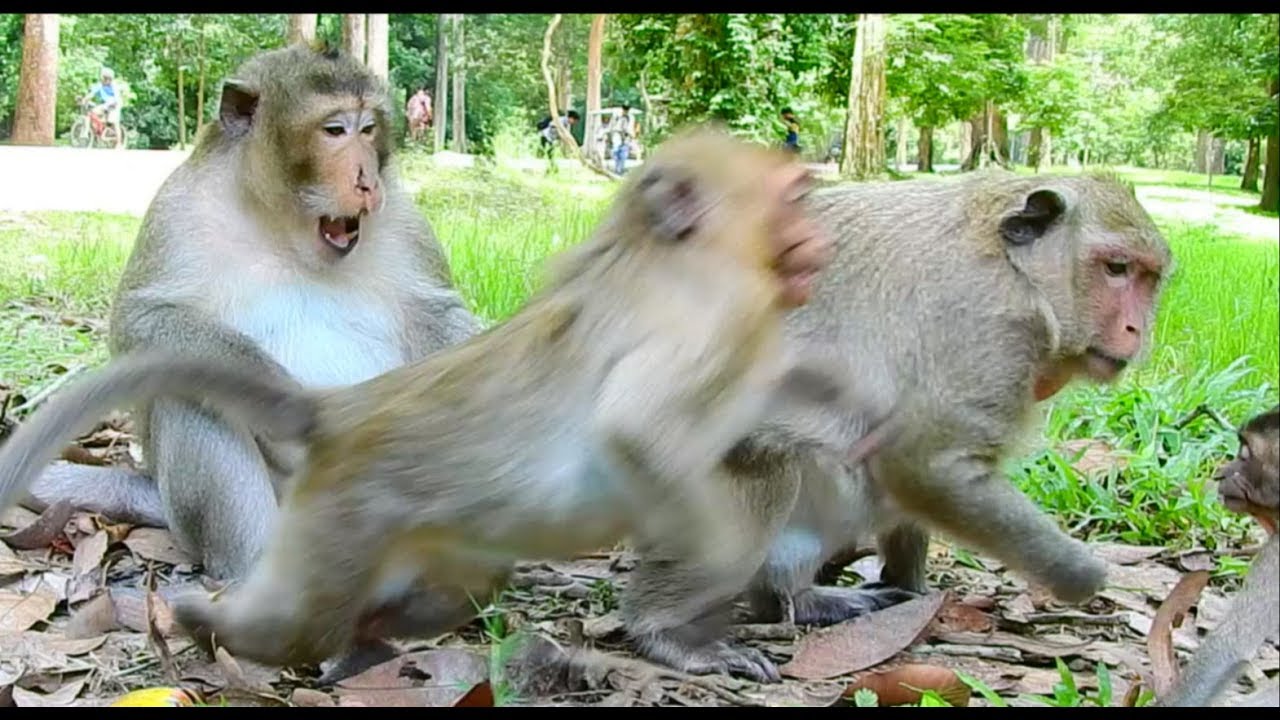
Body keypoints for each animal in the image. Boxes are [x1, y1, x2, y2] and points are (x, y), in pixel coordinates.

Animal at [0, 126, 850, 673]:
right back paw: (227, 621)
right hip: (341, 522)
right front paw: (682, 619)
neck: (661, 254)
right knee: (301, 621)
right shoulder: (705, 321)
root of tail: (336, 416)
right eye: (794, 198)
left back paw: (382, 632)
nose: (819, 241)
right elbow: (640, 437)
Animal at [622, 169, 1174, 682]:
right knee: (768, 463)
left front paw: (914, 589)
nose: (1135, 329)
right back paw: (665, 629)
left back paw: (795, 598)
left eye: (1147, 279)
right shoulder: (987, 327)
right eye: (1116, 268)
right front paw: (1084, 575)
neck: (1016, 268)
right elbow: (924, 465)